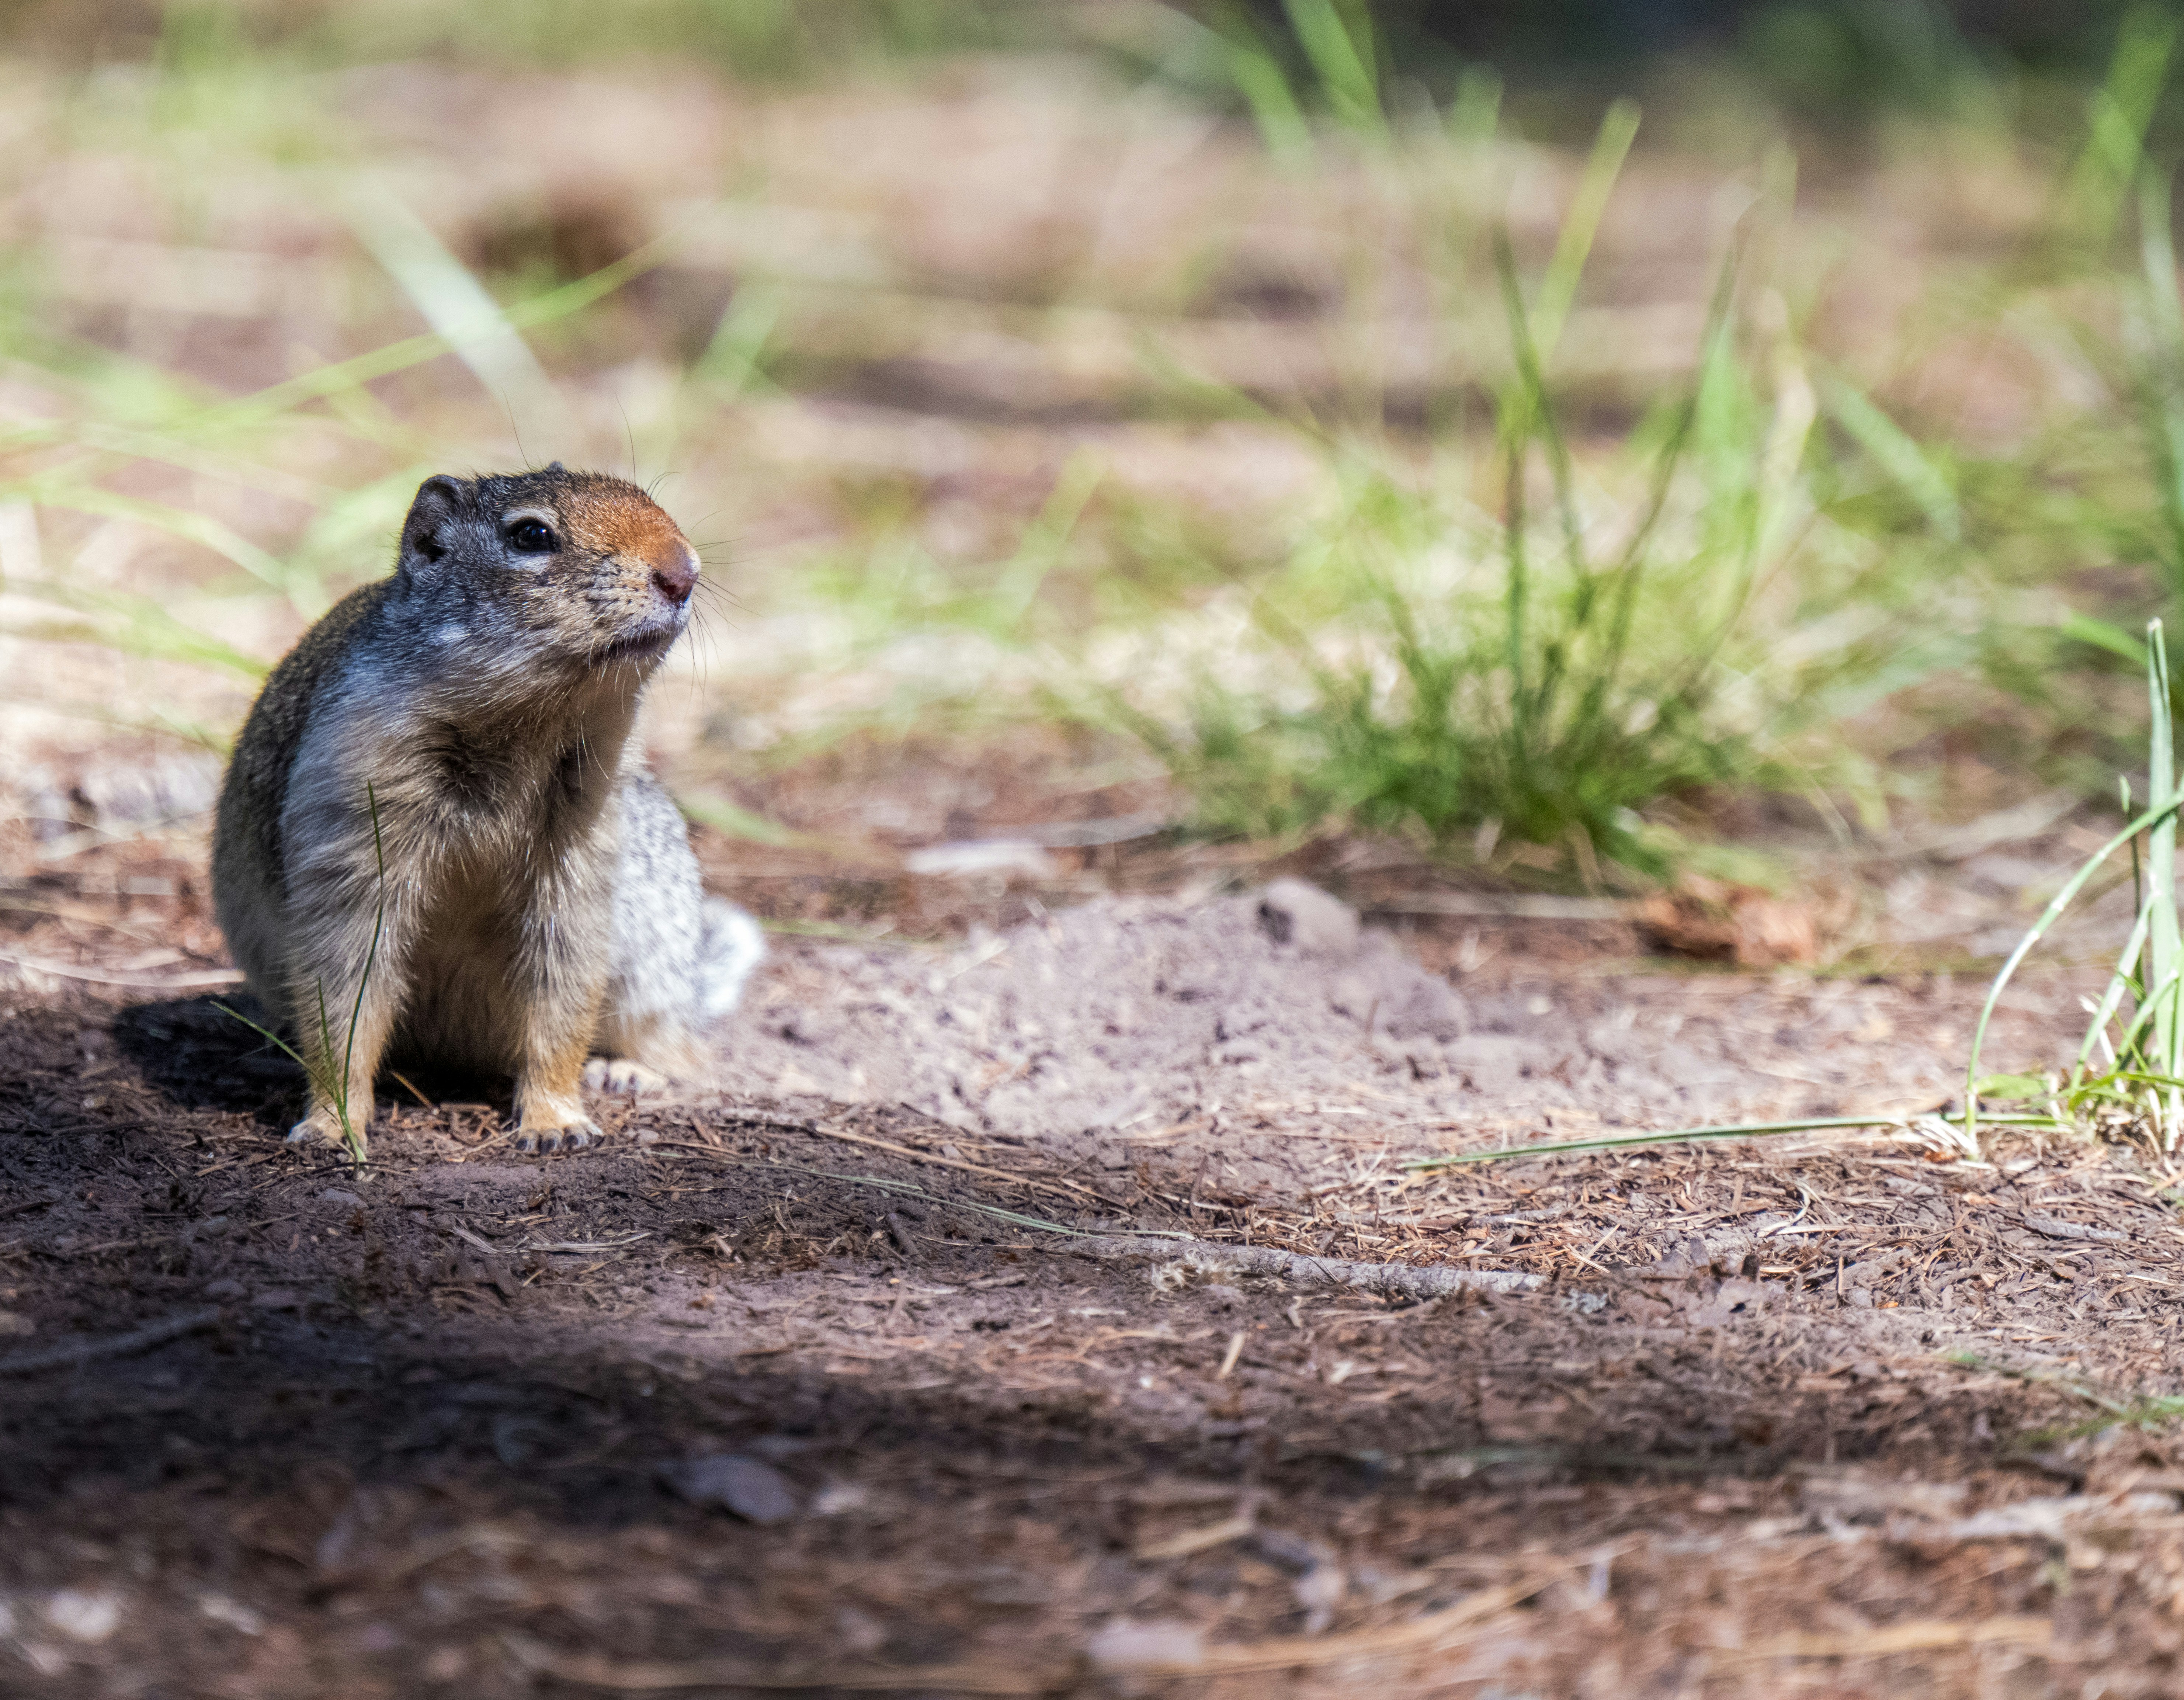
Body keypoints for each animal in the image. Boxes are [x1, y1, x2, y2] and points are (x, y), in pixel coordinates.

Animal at [211, 465, 763, 1155]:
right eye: (531, 534)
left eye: (651, 500)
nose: (683, 571)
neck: (528, 725)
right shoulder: (353, 821)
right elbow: (343, 991)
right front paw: (332, 1125)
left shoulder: (584, 848)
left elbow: (564, 988)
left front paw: (556, 1122)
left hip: (656, 969)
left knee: (676, 1041)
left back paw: (627, 1071)